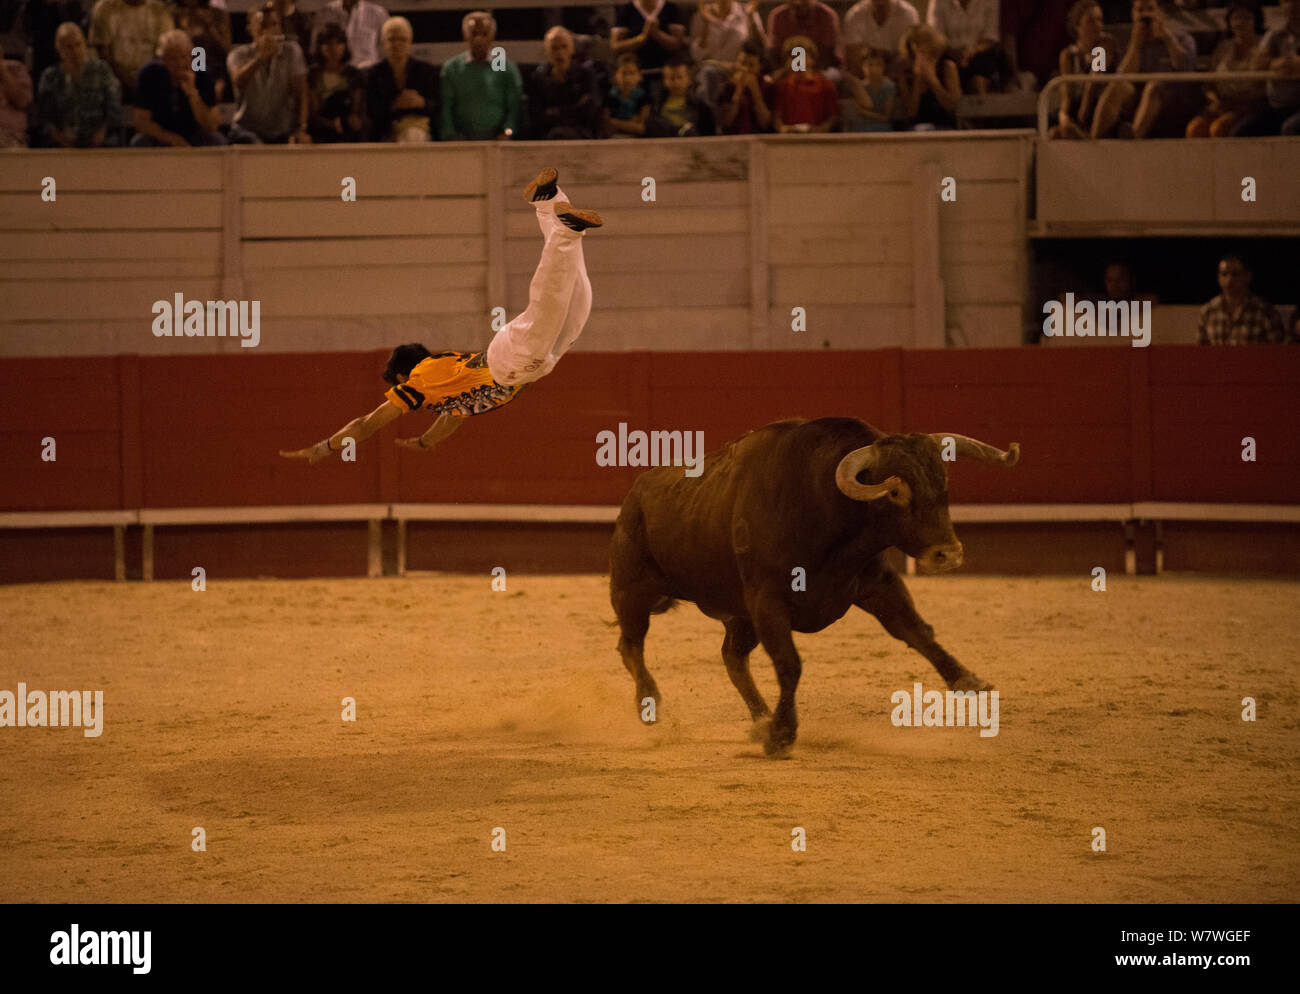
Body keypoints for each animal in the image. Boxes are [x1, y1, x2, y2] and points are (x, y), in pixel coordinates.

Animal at [609, 417, 1020, 755]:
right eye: (895, 492)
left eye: (942, 483)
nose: (947, 554)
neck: (821, 504)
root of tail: (637, 491)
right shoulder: (767, 598)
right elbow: (789, 663)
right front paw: (782, 735)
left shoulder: (877, 583)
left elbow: (916, 630)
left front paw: (967, 679)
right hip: (631, 591)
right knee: (631, 645)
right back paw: (650, 704)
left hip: (739, 616)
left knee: (732, 657)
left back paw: (760, 718)